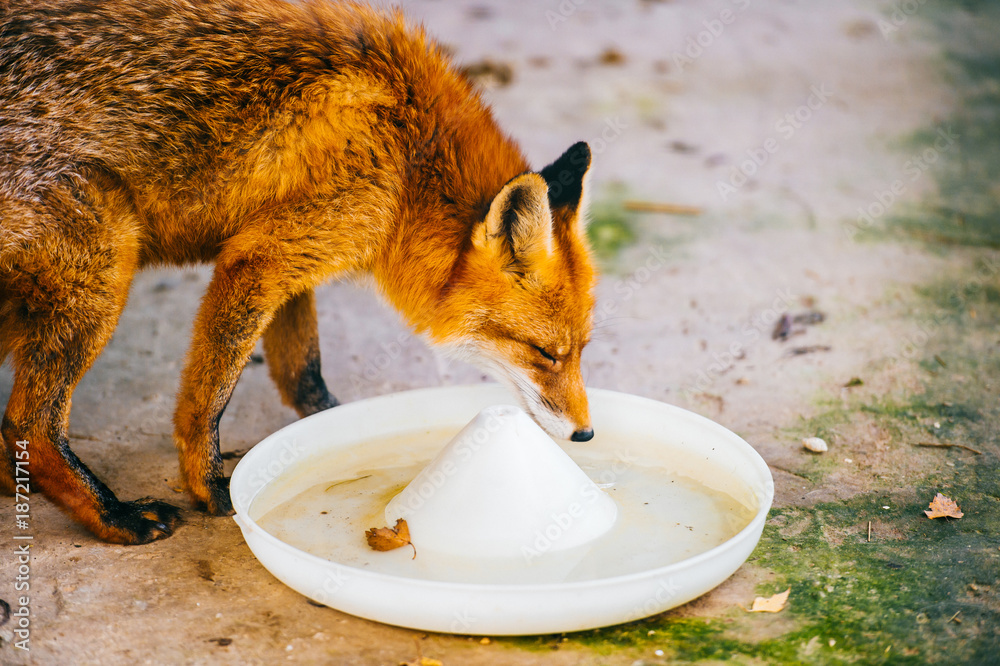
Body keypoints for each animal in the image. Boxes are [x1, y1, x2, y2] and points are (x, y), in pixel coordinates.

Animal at [0, 0, 598, 545]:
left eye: (581, 351)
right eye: (545, 354)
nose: (586, 434)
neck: (410, 158)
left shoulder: (292, 258)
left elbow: (303, 370)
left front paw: (329, 427)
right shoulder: (260, 259)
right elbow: (207, 399)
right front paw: (210, 486)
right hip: (110, 250)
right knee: (27, 426)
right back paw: (115, 517)